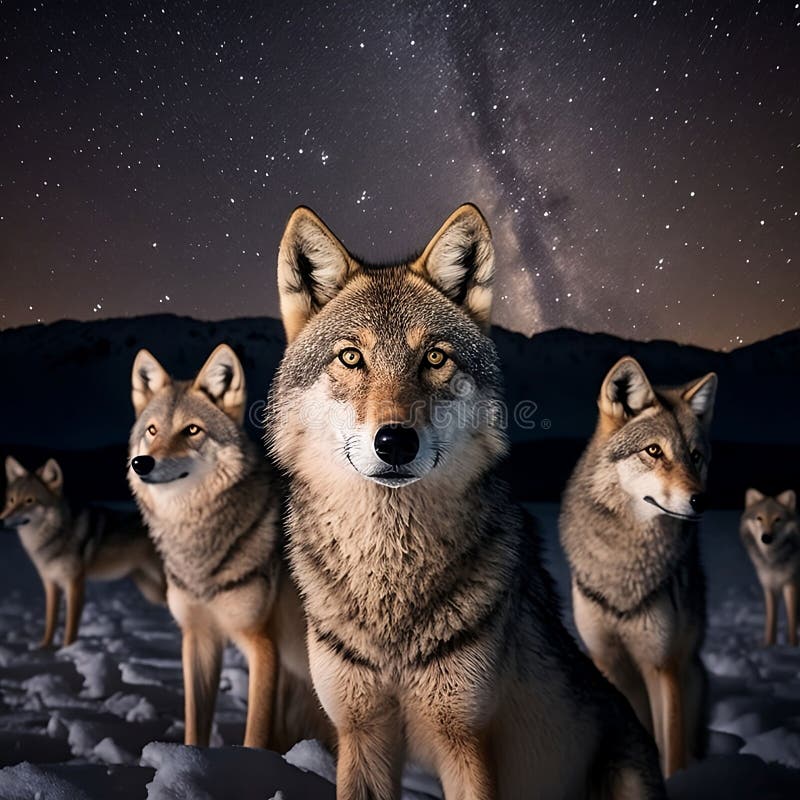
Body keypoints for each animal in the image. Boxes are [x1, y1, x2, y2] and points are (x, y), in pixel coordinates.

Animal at [1, 456, 165, 647]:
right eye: (12, 500)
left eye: (29, 501)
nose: (1, 519)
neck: (52, 537)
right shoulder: (50, 583)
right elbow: (50, 622)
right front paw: (44, 648)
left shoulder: (74, 583)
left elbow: (70, 628)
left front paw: (67, 650)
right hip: (151, 591)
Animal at [127, 344, 331, 751]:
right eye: (152, 430)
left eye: (192, 430)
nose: (141, 463)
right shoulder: (199, 639)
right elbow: (195, 727)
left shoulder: (262, 646)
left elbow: (254, 735)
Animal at [266, 204, 665, 800]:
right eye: (351, 357)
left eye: (434, 357)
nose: (395, 441)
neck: (390, 588)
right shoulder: (360, 734)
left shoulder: (466, 740)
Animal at [560, 356, 718, 777]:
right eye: (654, 451)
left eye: (695, 456)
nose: (701, 501)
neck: (623, 564)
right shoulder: (608, 661)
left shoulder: (662, 666)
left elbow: (673, 753)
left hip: (691, 677)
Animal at [740, 489, 799, 647]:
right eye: (759, 518)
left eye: (777, 519)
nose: (766, 537)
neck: (772, 559)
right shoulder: (770, 585)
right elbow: (771, 620)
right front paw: (769, 646)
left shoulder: (790, 584)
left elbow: (792, 619)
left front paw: (792, 646)